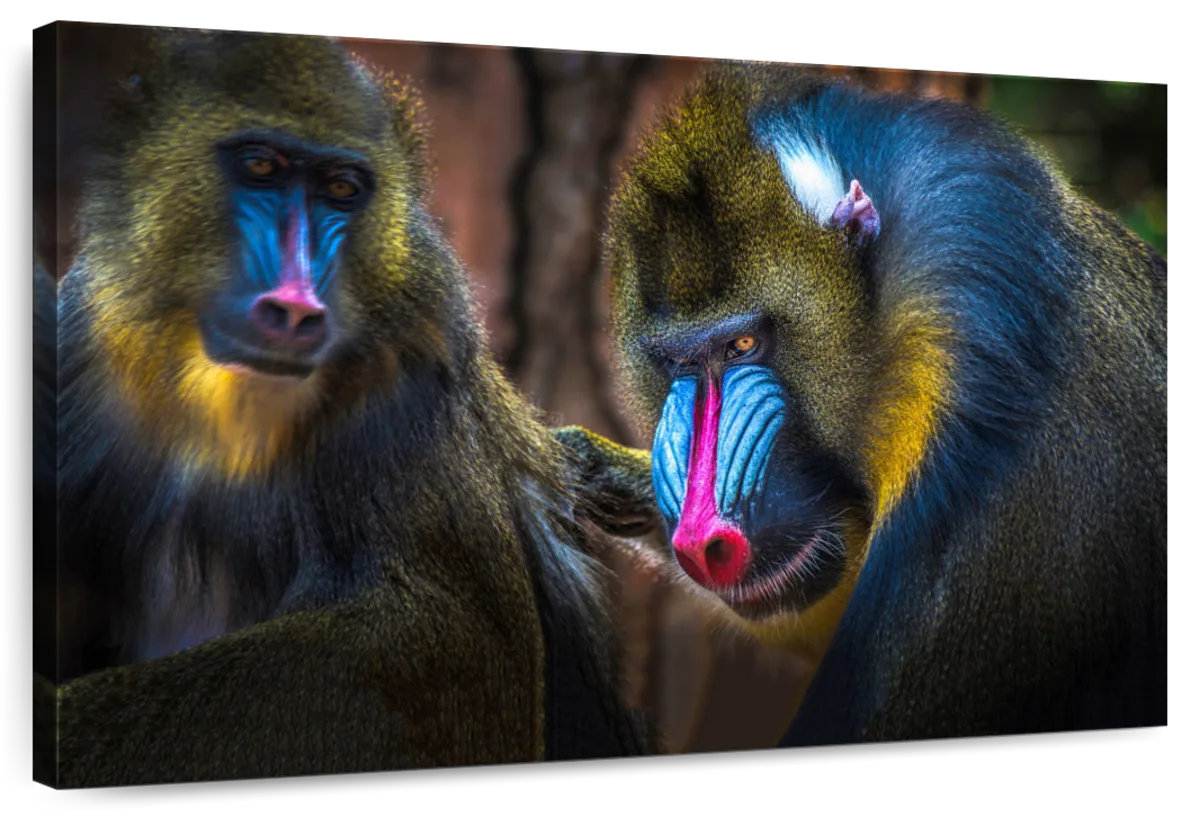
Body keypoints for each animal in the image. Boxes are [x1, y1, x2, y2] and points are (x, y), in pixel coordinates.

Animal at [34, 26, 652, 786]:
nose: (297, 307)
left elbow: (454, 644)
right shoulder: (82, 337)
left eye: (339, 190)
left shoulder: (409, 367)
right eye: (261, 167)